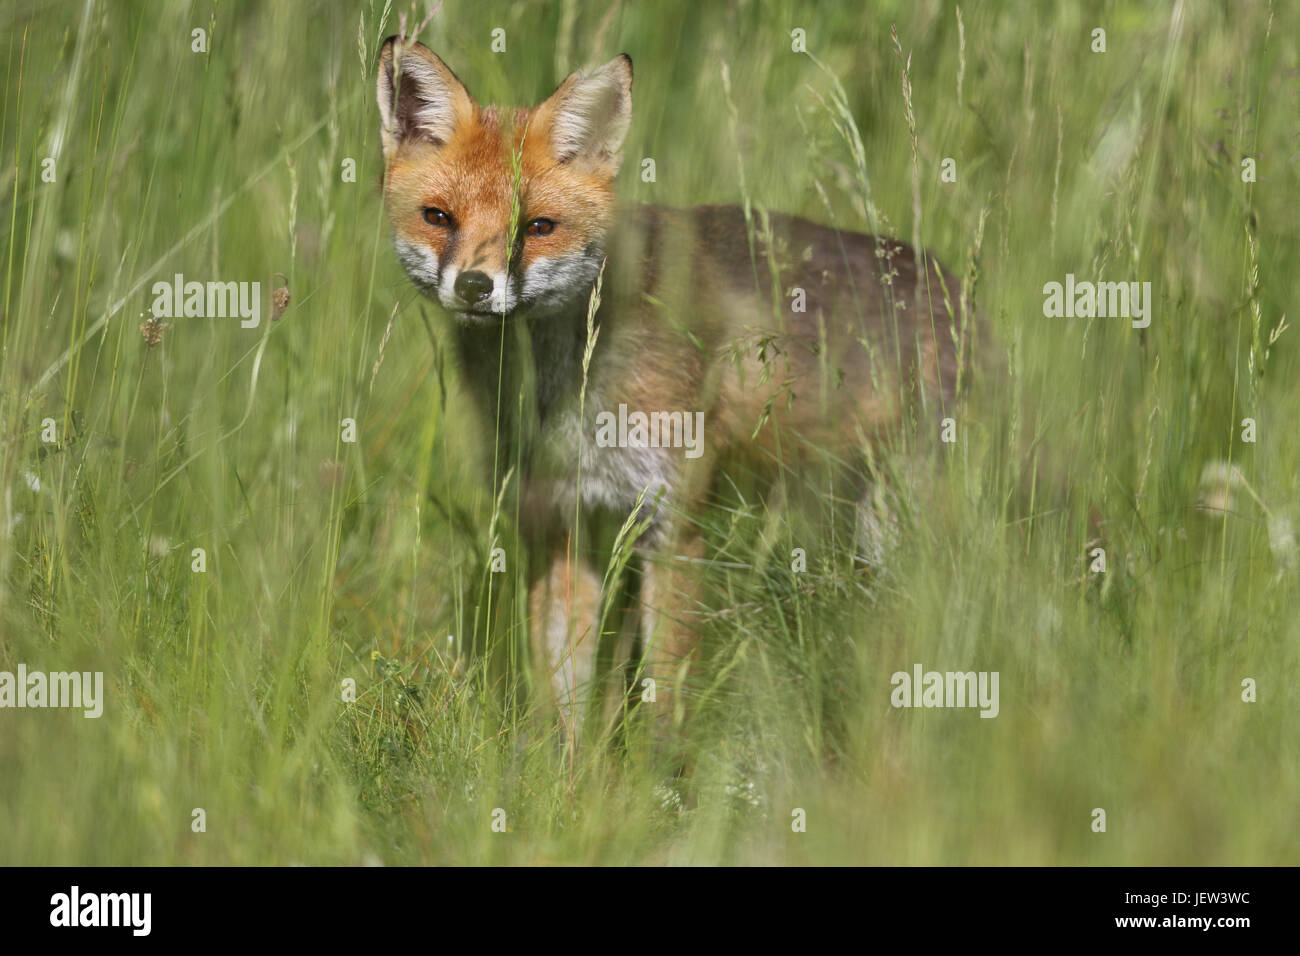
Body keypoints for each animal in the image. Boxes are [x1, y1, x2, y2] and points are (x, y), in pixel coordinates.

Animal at [375, 37, 973, 747]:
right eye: (439, 218)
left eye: (539, 227)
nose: (474, 286)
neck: (570, 400)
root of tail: (955, 287)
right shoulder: (556, 521)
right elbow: (564, 695)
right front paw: (564, 774)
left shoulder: (675, 523)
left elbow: (666, 700)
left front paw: (657, 773)